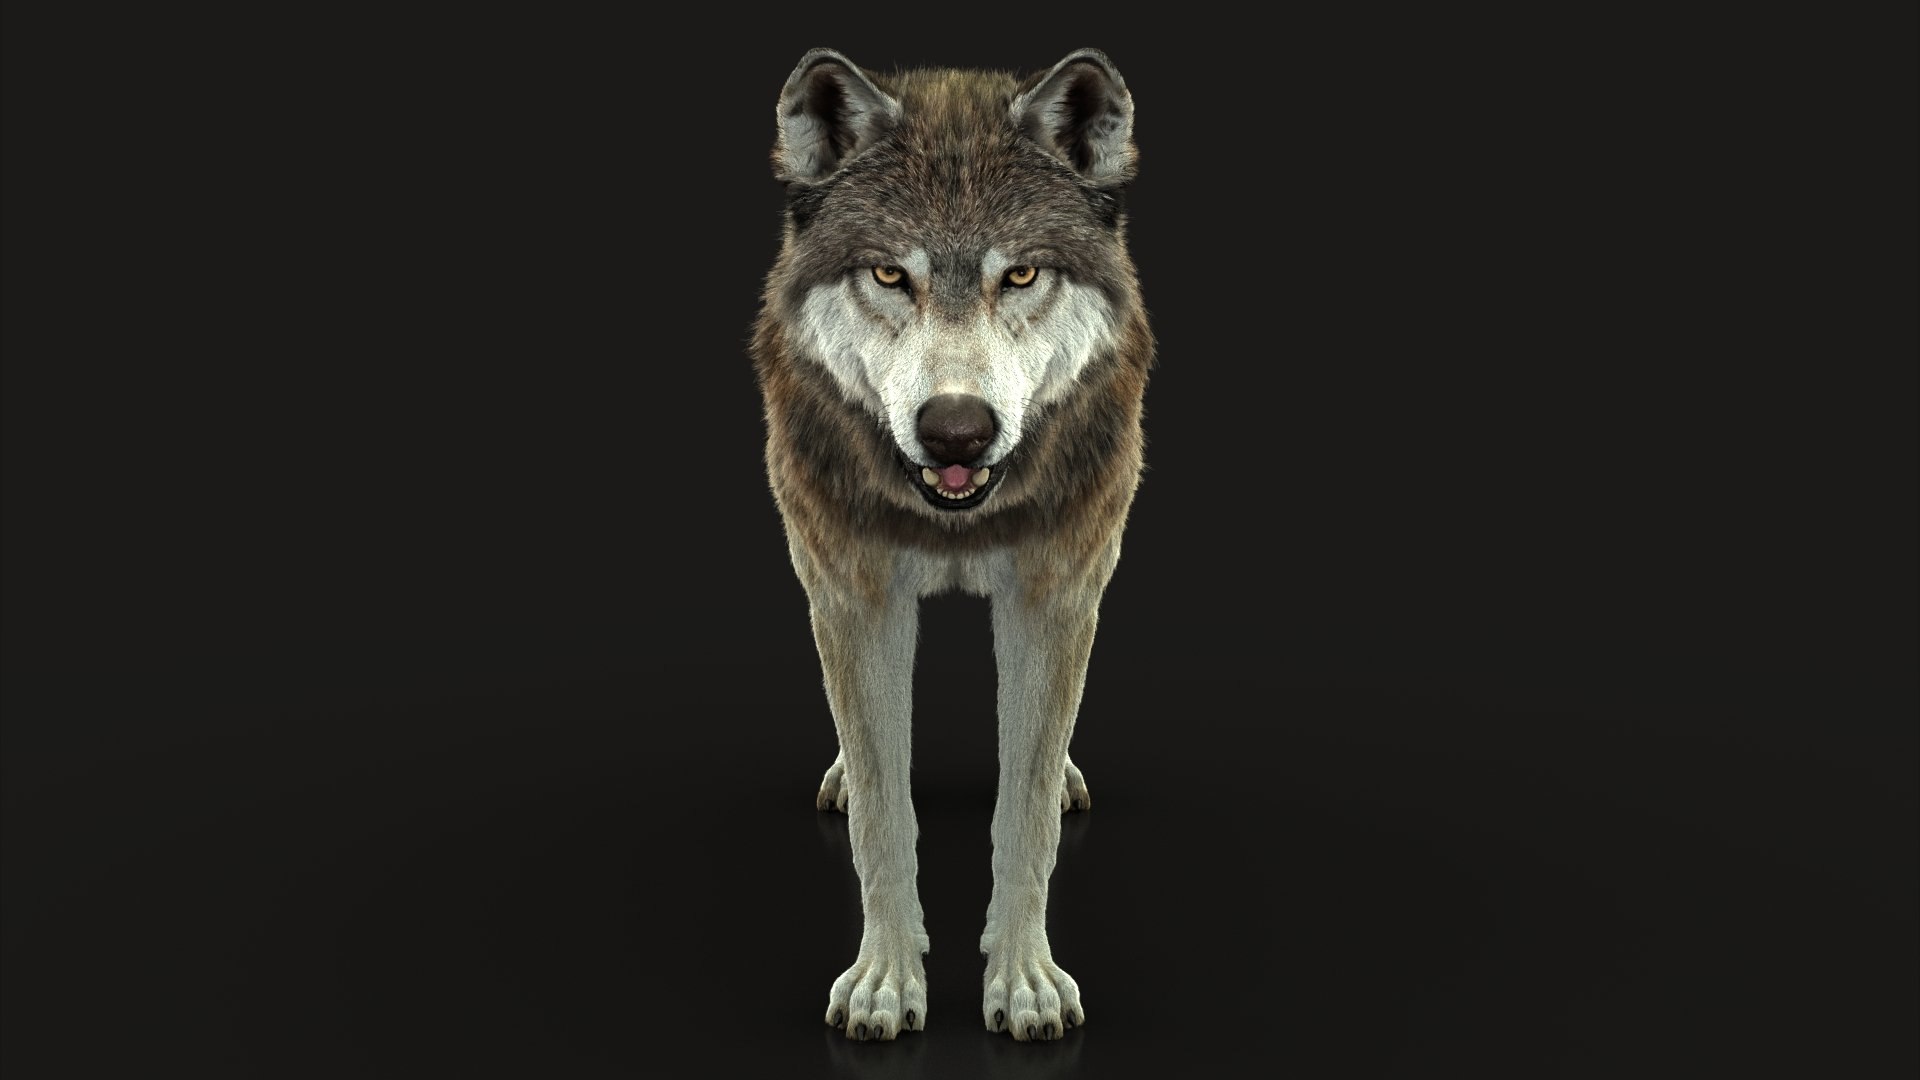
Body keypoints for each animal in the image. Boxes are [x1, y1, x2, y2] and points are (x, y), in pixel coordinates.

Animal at [751, 46, 1152, 1043]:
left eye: (1022, 276)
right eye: (891, 276)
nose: (958, 431)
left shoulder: (1055, 593)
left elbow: (1028, 812)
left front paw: (1025, 981)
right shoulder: (856, 595)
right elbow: (883, 814)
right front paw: (885, 981)